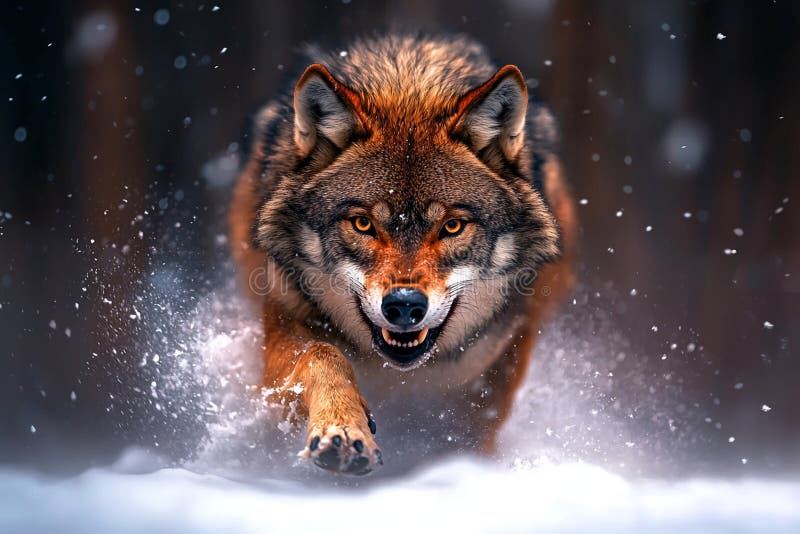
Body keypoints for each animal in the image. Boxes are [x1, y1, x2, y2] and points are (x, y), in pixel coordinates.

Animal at [229, 34, 576, 475]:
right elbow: (322, 356)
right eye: (363, 223)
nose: (405, 306)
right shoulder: (282, 320)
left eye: (452, 226)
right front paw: (342, 431)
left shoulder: (503, 355)